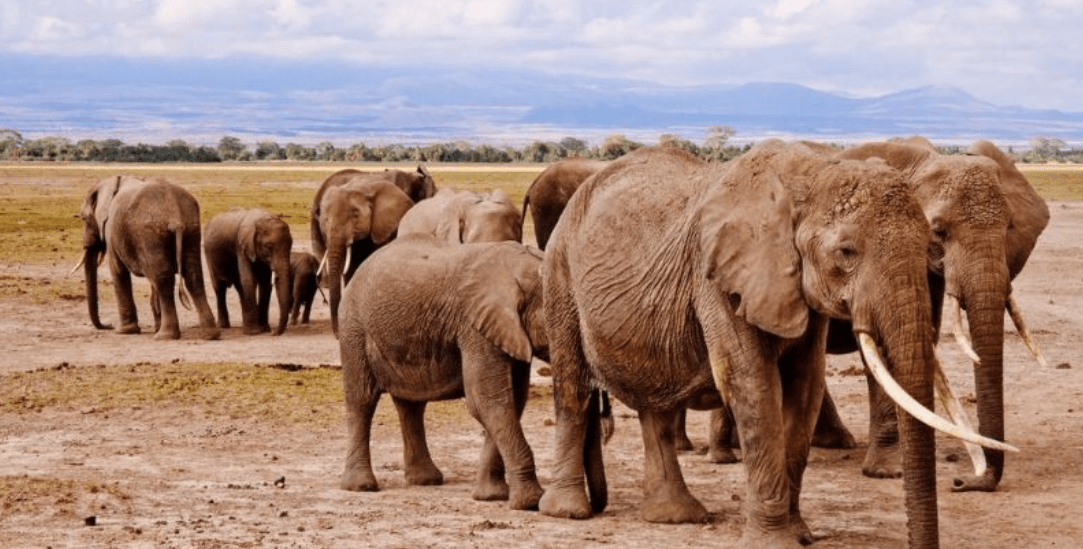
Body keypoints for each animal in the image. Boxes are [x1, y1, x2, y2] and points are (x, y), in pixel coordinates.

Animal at [75, 176, 219, 340]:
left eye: (84, 219)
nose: (108, 326)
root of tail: (175, 213)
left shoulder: (112, 231)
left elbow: (118, 271)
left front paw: (124, 331)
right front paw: (155, 327)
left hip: (151, 232)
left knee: (164, 279)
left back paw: (164, 336)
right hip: (191, 229)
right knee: (193, 276)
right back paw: (210, 334)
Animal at [338, 234, 548, 510]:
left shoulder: (507, 331)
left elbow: (511, 401)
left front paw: (491, 496)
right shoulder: (475, 327)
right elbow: (486, 400)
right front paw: (530, 502)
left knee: (411, 405)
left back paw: (425, 480)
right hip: (354, 327)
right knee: (361, 399)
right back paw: (361, 486)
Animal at [538, 143, 1012, 549]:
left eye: (930, 242)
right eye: (846, 252)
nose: (961, 482)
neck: (809, 176)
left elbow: (804, 389)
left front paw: (801, 533)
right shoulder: (718, 278)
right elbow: (754, 385)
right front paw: (775, 541)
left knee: (655, 406)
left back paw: (674, 517)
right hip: (560, 274)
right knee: (573, 389)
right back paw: (568, 511)